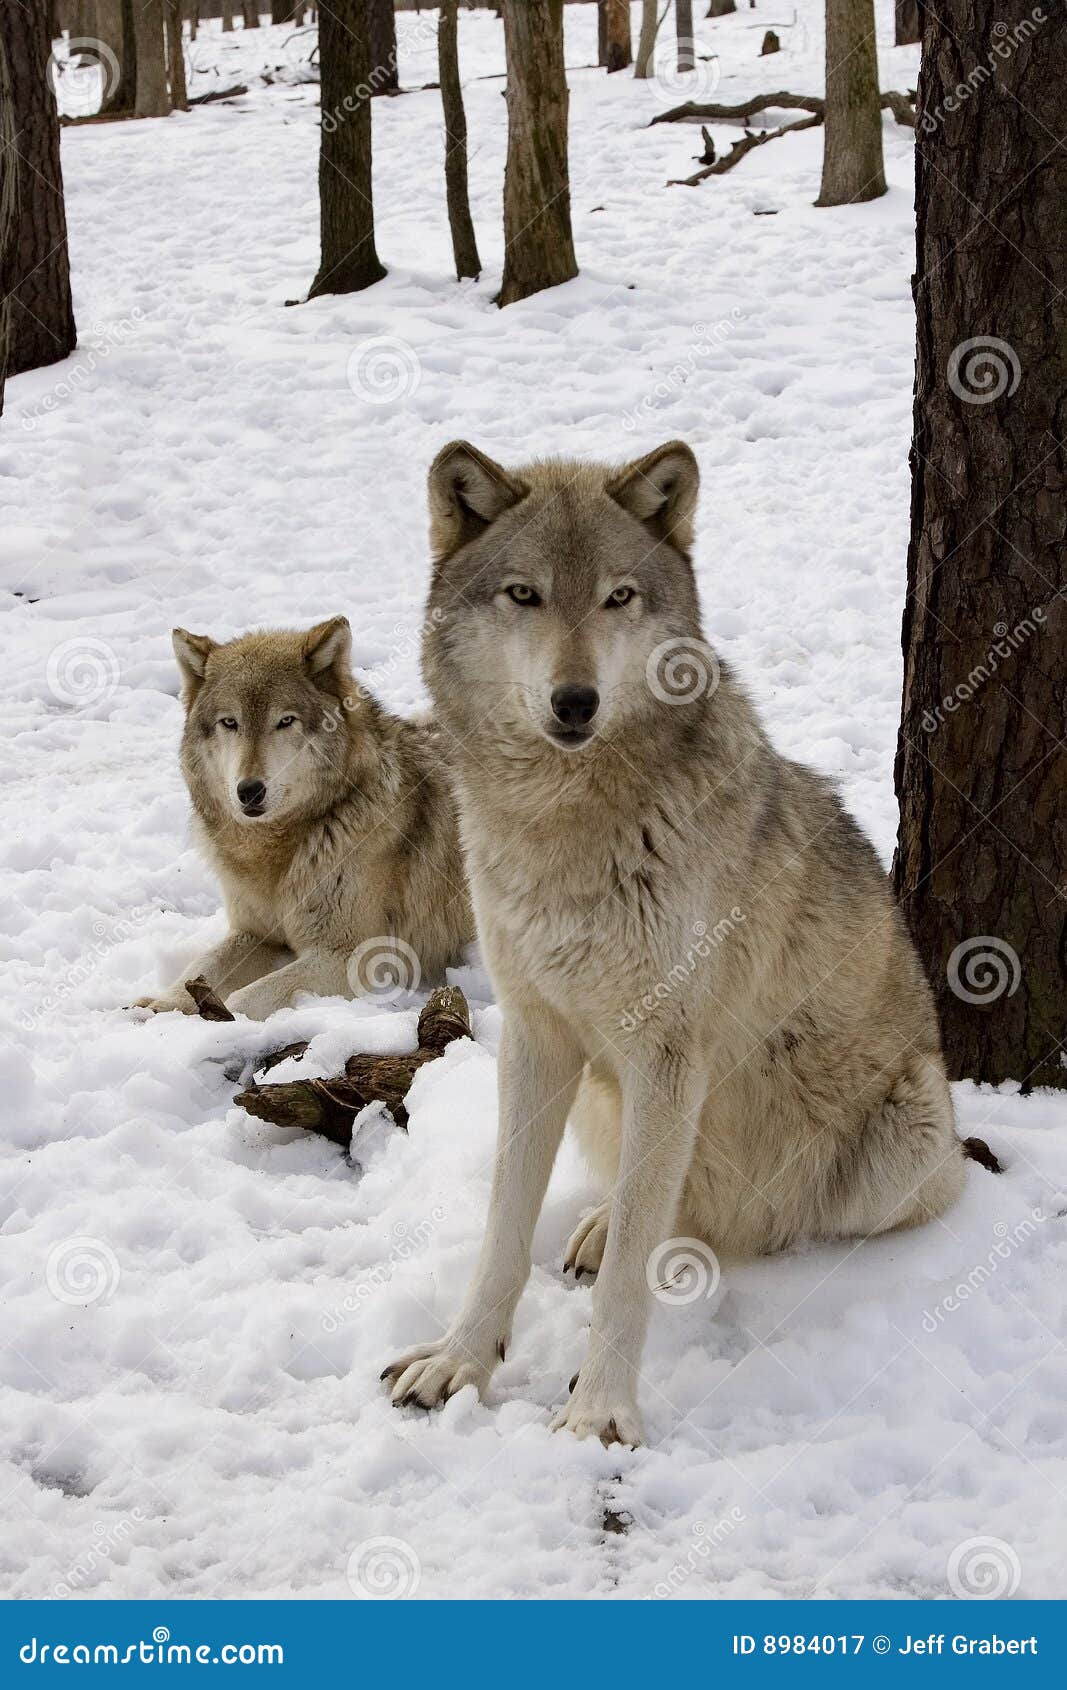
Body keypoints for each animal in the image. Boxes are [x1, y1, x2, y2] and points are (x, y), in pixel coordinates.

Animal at [135, 617, 472, 1019]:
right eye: (229, 722)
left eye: (285, 721)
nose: (249, 791)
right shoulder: (253, 934)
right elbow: (200, 966)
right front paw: (160, 1007)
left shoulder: (353, 957)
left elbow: (247, 996)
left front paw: (224, 1018)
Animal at [381, 440, 966, 1446]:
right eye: (524, 595)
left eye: (618, 597)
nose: (575, 702)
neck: (563, 824)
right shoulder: (535, 1039)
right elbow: (502, 1234)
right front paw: (459, 1363)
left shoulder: (666, 1051)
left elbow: (629, 1276)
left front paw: (598, 1416)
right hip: (601, 1095)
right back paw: (592, 1226)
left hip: (895, 1135)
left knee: (731, 1221)